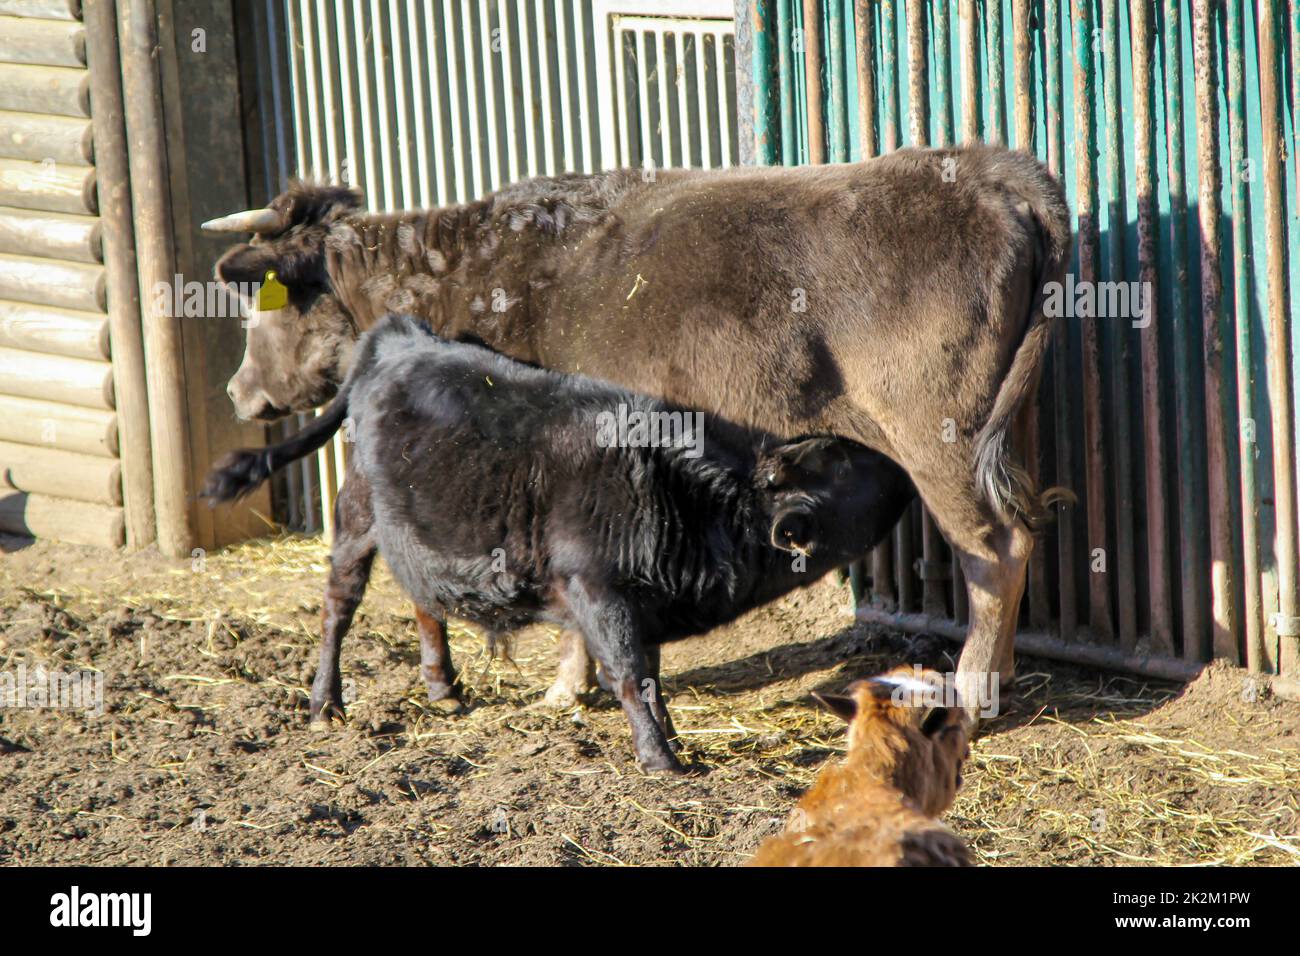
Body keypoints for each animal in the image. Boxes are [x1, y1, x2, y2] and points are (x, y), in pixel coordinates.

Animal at [202, 314, 916, 772]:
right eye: (842, 463)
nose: (898, 462)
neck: (674, 499)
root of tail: (402, 336)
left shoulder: (640, 607)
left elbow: (652, 673)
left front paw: (670, 737)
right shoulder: (597, 590)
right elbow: (629, 673)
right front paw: (661, 759)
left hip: (417, 533)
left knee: (425, 602)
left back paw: (443, 687)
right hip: (355, 518)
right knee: (338, 606)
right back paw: (325, 703)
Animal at [204, 144, 1072, 717]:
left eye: (259, 308)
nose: (237, 391)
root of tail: (987, 168)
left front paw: (563, 686)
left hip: (939, 438)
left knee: (997, 550)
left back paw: (976, 690)